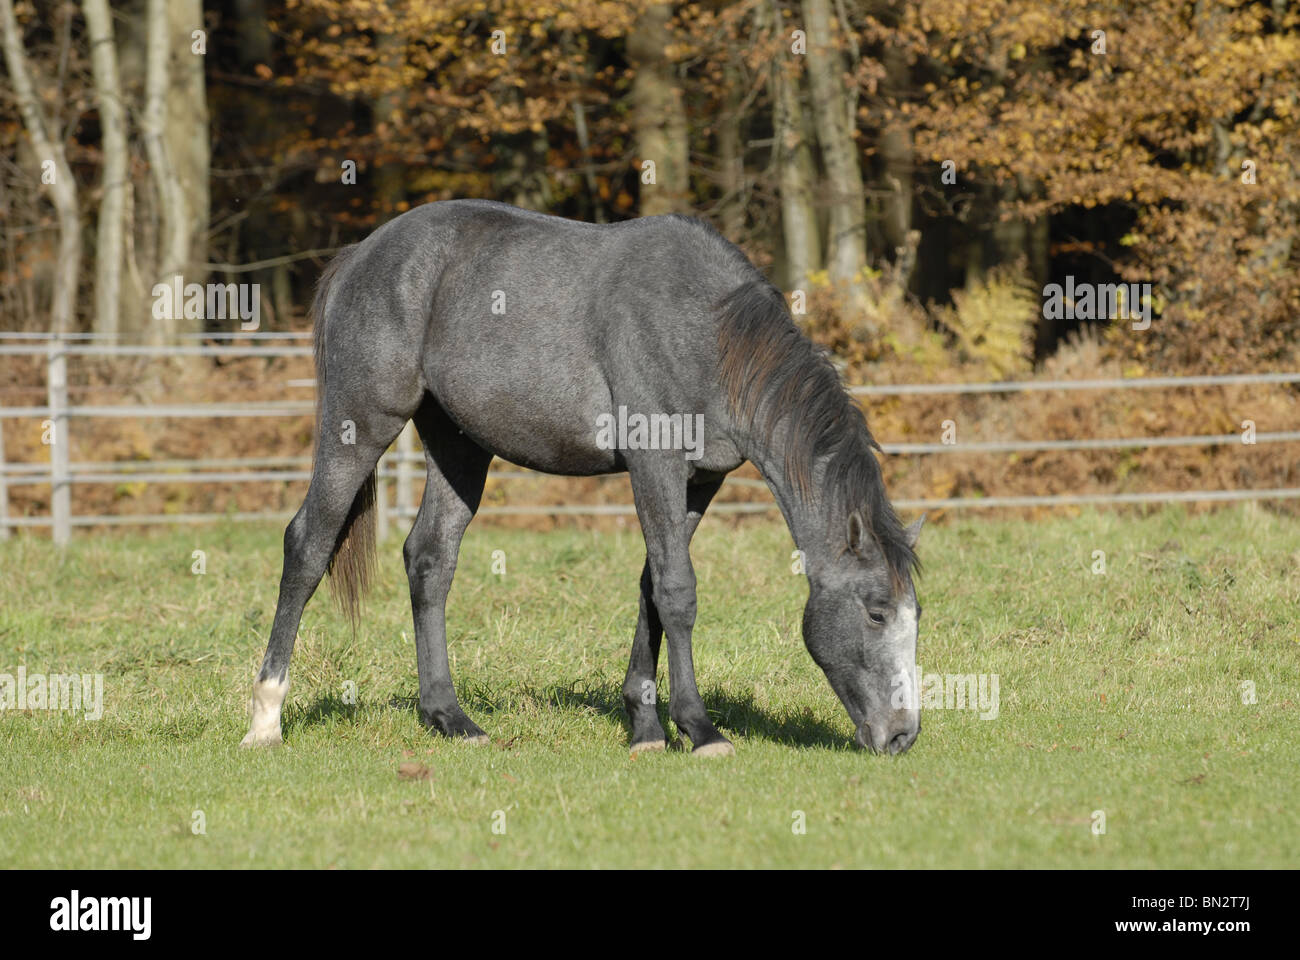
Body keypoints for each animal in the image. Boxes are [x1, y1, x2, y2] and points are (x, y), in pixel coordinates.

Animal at [241, 199, 924, 757]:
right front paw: (698, 729)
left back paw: (450, 718)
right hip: (359, 424)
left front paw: (645, 726)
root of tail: (360, 255)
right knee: (308, 545)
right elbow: (678, 591)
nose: (902, 735)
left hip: (459, 447)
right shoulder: (654, 465)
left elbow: (651, 588)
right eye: (876, 613)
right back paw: (266, 719)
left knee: (430, 559)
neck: (707, 330)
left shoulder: (700, 481)